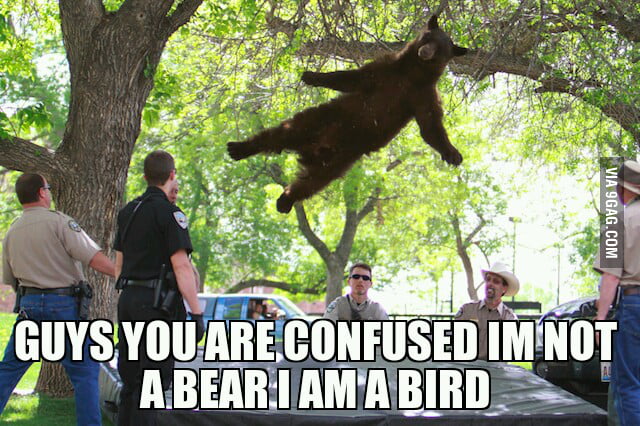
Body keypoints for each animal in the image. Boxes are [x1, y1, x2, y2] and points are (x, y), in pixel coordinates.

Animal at [227, 15, 467, 213]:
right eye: (428, 37)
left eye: (441, 49)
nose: (425, 51)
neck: (412, 73)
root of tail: (311, 150)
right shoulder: (385, 70)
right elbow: (351, 78)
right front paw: (311, 76)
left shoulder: (423, 95)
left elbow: (430, 125)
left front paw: (453, 154)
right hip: (317, 120)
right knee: (277, 135)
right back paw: (239, 148)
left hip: (340, 161)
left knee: (311, 183)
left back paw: (285, 200)